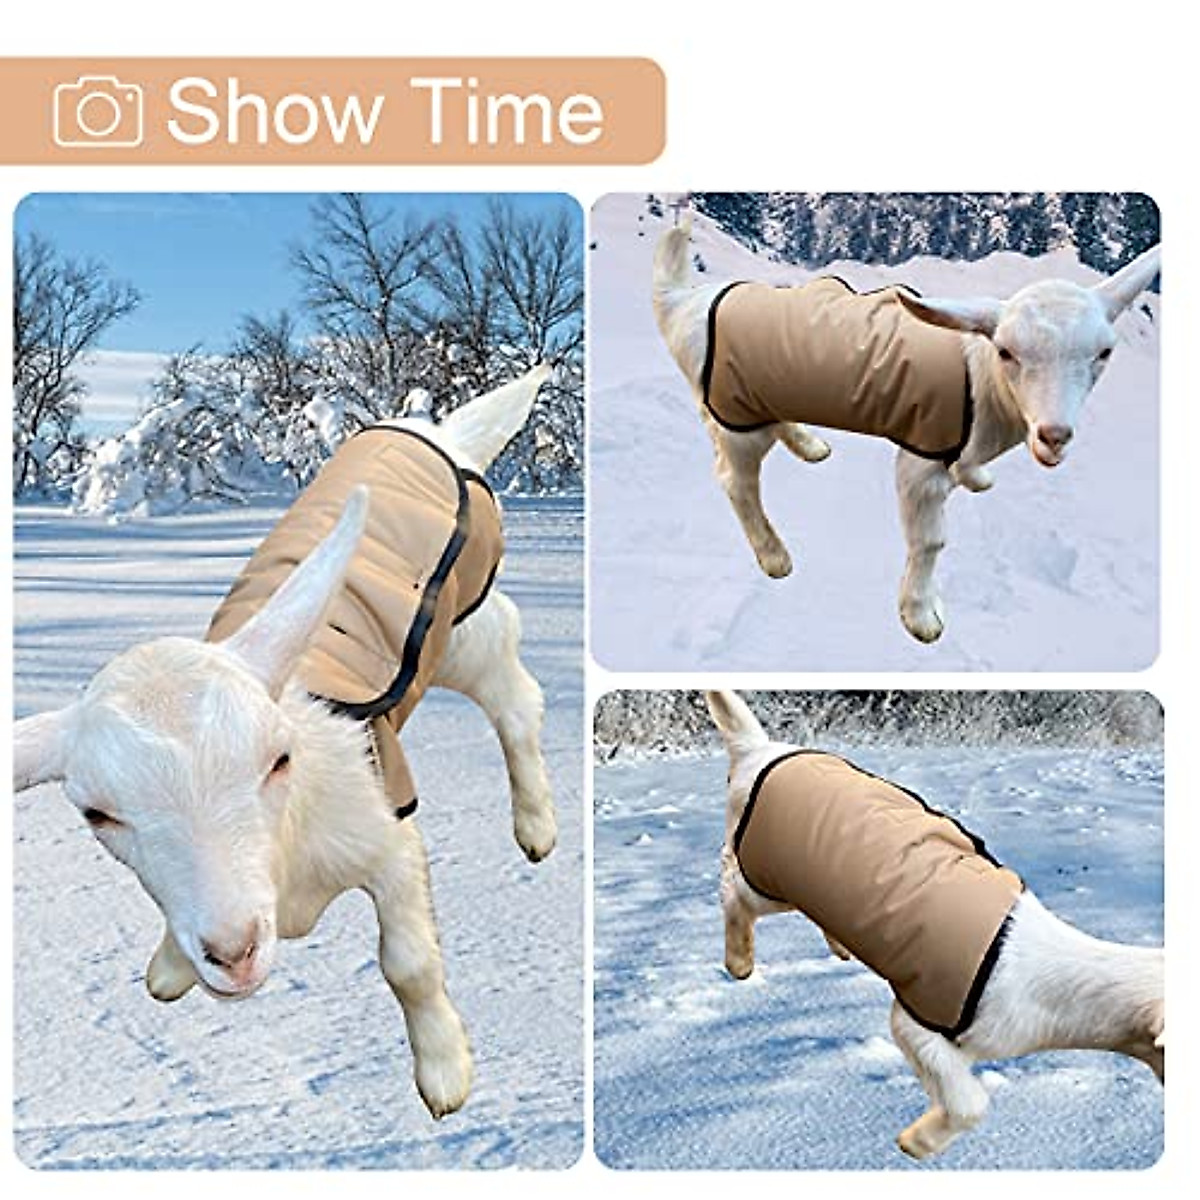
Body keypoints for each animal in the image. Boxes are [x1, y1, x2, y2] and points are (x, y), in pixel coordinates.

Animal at [11, 365, 558, 1122]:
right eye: (99, 814)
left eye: (278, 761)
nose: (235, 952)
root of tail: (437, 432)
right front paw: (169, 968)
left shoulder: (387, 832)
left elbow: (409, 965)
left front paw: (446, 1073)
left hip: (460, 627)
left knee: (514, 693)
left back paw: (535, 824)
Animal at [653, 219, 1161, 643]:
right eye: (1006, 352)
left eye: (1104, 353)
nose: (1054, 436)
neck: (982, 384)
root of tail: (681, 302)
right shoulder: (923, 455)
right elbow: (930, 539)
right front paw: (920, 615)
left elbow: (968, 471)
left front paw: (977, 478)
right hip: (735, 416)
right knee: (735, 481)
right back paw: (773, 554)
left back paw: (808, 444)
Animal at [706, 690, 1163, 1160]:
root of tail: (758, 751)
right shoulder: (919, 1021)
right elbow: (969, 1102)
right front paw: (916, 1144)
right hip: (770, 874)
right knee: (733, 892)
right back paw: (739, 960)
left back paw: (840, 943)